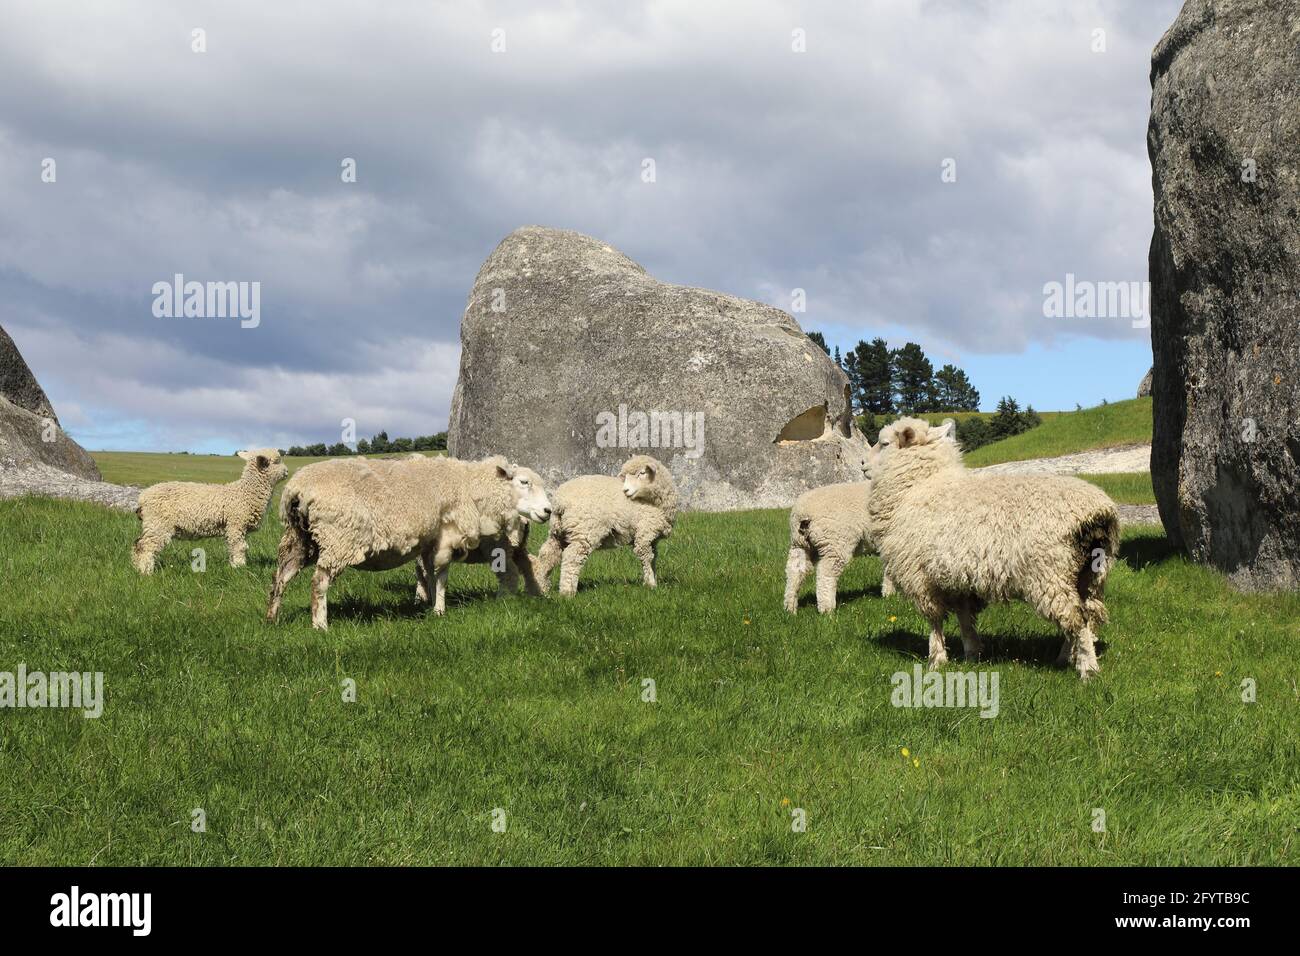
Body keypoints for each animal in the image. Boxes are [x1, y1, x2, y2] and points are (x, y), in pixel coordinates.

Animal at [132, 448, 288, 574]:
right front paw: (240, 567)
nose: (287, 472)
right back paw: (146, 572)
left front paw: (234, 566)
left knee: (137, 544)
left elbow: (233, 547)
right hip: (158, 524)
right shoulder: (235, 524)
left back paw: (137, 568)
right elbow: (239, 547)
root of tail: (142, 497)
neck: (246, 492)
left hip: (152, 524)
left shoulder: (235, 527)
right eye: (277, 461)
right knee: (145, 547)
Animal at [265, 454, 550, 628]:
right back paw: (320, 625)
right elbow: (441, 574)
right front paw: (440, 610)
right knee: (318, 582)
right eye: (524, 482)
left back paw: (272, 617)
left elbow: (429, 574)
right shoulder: (447, 536)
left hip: (301, 539)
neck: (470, 486)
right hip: (339, 538)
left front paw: (430, 604)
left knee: (281, 577)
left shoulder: (429, 541)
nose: (548, 511)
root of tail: (296, 488)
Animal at [532, 454, 677, 596]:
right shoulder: (645, 533)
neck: (656, 500)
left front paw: (652, 581)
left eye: (641, 473)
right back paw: (567, 592)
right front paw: (651, 584)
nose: (625, 490)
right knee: (572, 557)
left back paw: (542, 588)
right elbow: (647, 558)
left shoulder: (652, 538)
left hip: (559, 531)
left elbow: (653, 558)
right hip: (584, 531)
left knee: (547, 554)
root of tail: (559, 501)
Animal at [867, 417, 1120, 680]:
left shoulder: (921, 577)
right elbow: (964, 618)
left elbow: (935, 621)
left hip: (1050, 572)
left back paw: (1087, 669)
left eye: (884, 443)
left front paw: (936, 660)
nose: (863, 465)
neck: (919, 486)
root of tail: (1097, 514)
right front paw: (971, 653)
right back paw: (1067, 658)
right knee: (1088, 614)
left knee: (1078, 619)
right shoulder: (958, 578)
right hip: (1091, 574)